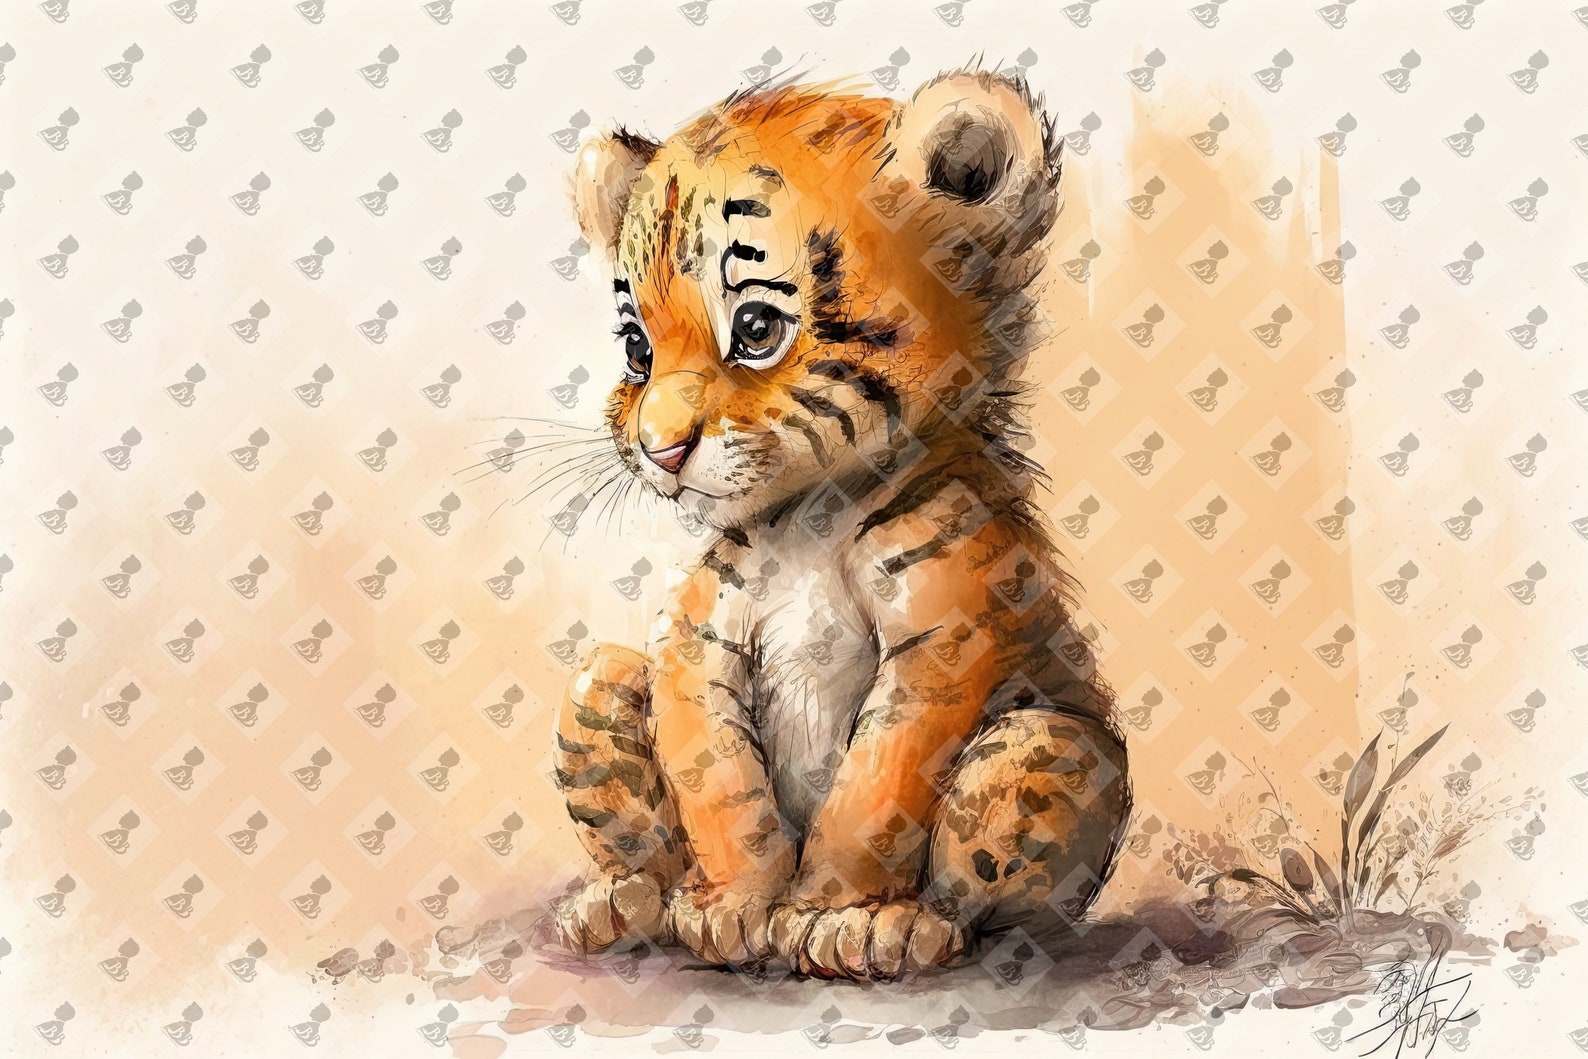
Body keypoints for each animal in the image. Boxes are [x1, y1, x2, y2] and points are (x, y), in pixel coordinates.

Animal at [551, 68, 1131, 981]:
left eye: (756, 329)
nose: (659, 448)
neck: (808, 522)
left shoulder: (945, 637)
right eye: (638, 348)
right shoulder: (693, 640)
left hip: (1055, 743)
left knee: (994, 906)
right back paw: (623, 905)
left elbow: (876, 788)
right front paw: (732, 906)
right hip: (598, 684)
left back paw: (915, 926)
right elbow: (717, 781)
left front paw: (838, 914)